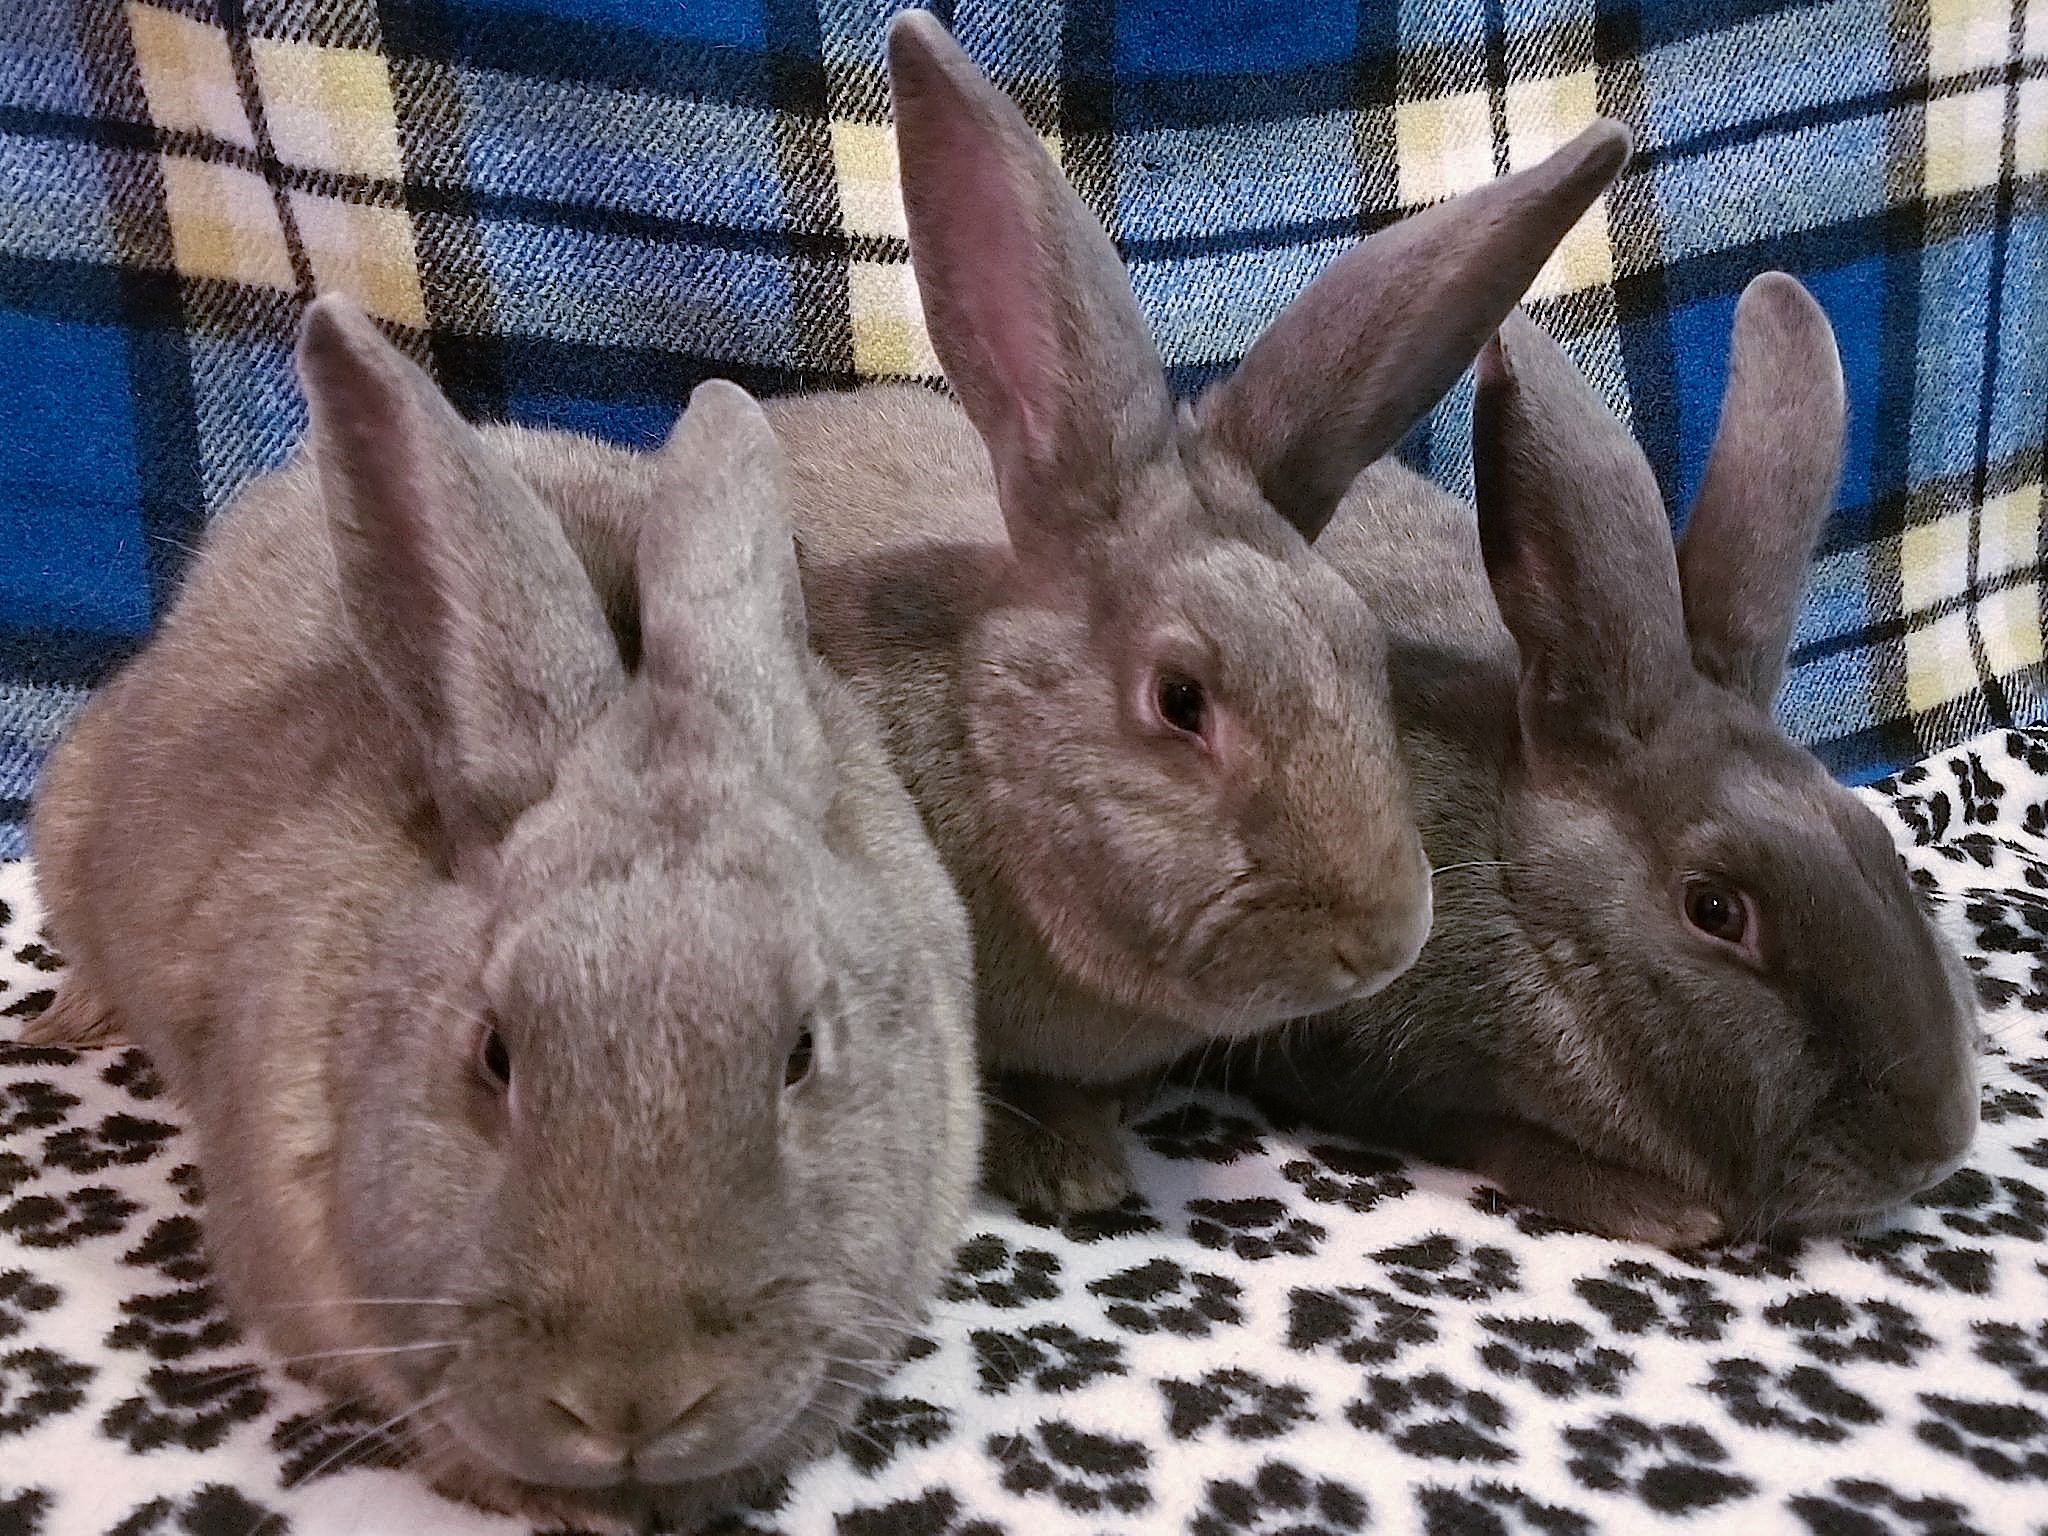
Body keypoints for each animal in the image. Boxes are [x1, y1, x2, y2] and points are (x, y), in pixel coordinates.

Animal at [1246, 273, 1981, 1247]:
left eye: (1874, 841)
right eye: (1714, 910)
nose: (1935, 1144)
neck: (1518, 887)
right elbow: (1485, 1133)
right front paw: (1664, 1215)